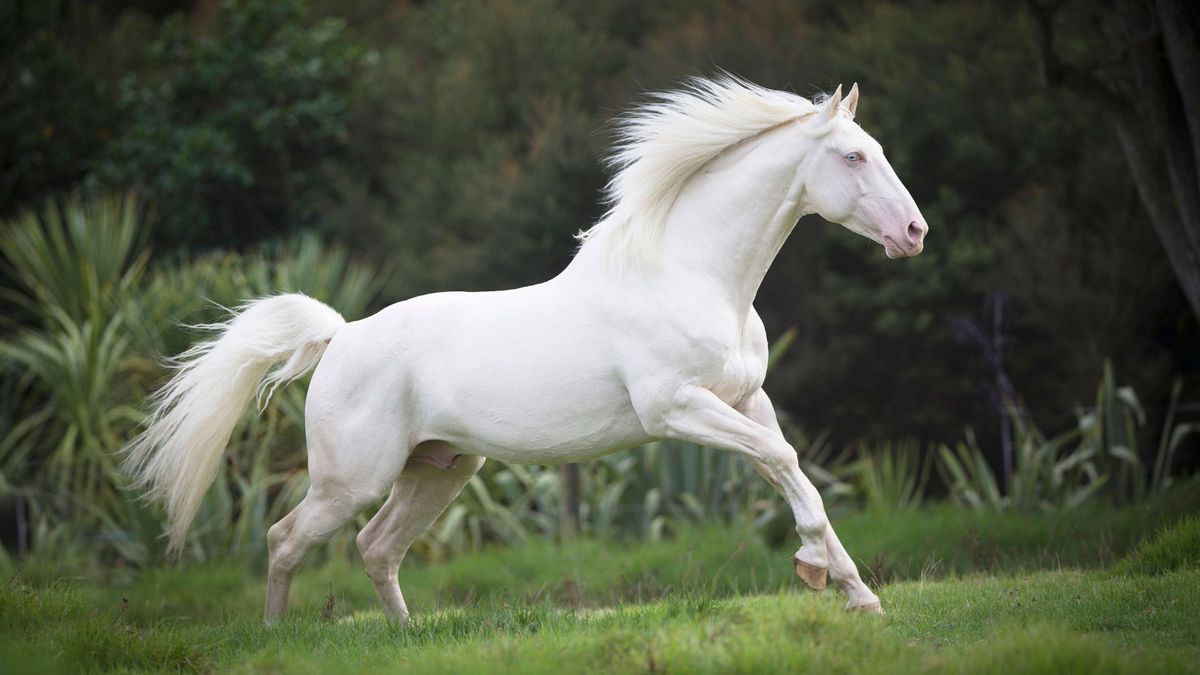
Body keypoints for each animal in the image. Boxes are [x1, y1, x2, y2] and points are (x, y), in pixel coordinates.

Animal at [124, 76, 927, 623]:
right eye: (854, 157)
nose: (914, 233)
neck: (689, 275)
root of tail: (342, 335)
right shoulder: (677, 410)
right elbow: (789, 466)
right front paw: (818, 572)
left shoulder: (745, 401)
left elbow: (792, 472)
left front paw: (857, 594)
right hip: (350, 479)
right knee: (287, 538)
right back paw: (277, 637)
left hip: (440, 469)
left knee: (377, 546)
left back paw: (407, 637)